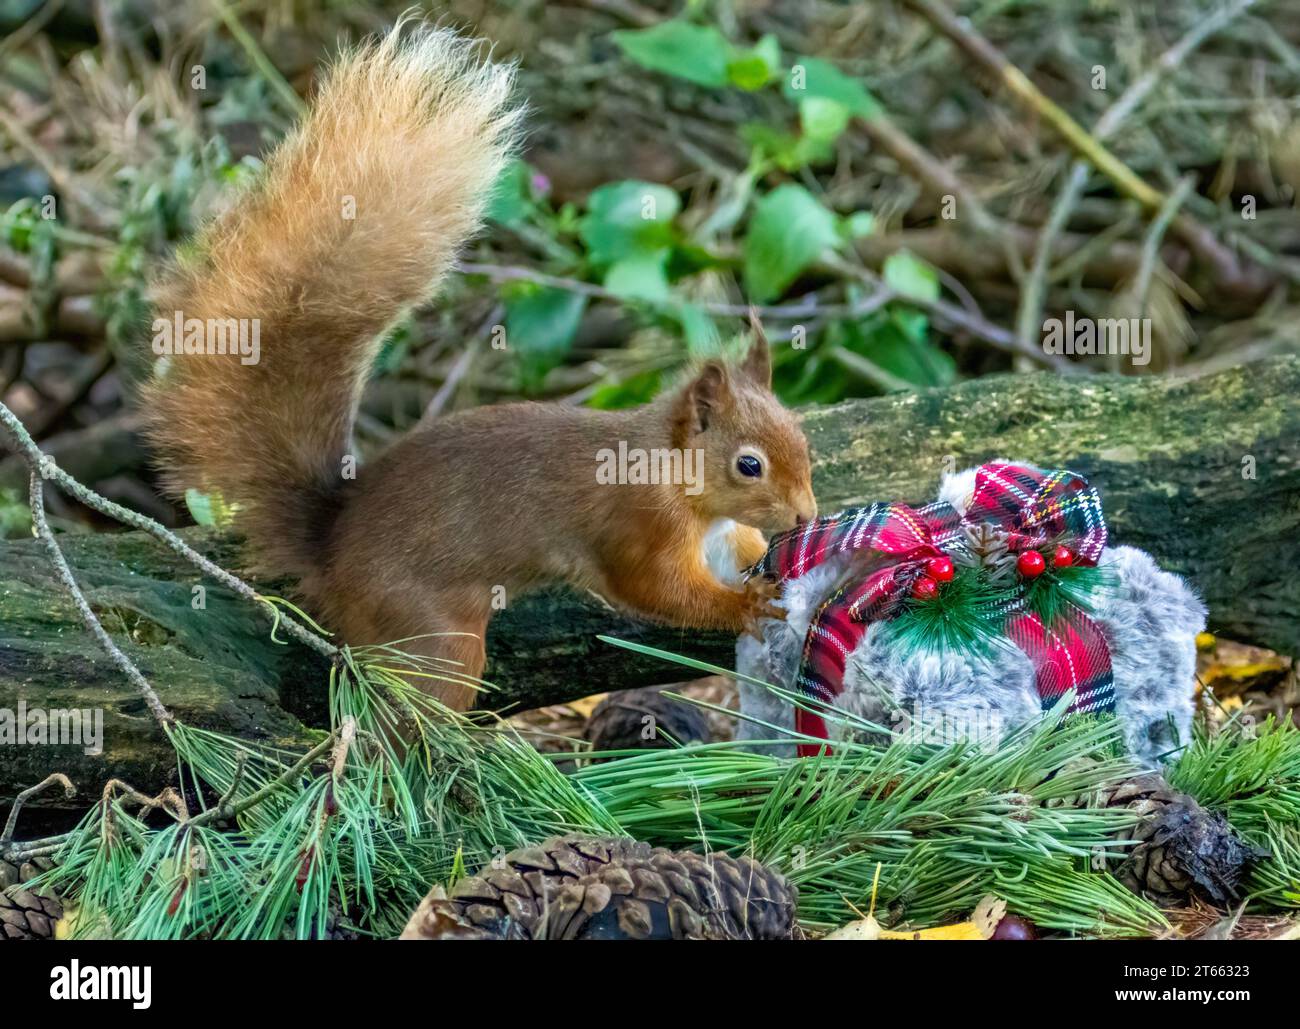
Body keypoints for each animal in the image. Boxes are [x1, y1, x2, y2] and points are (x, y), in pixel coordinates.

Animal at [142, 24, 817, 711]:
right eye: (749, 465)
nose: (806, 517)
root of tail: (331, 549)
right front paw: (744, 605)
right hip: (434, 634)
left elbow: (739, 548)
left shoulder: (719, 534)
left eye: (804, 440)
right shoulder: (638, 524)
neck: (677, 475)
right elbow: (655, 590)